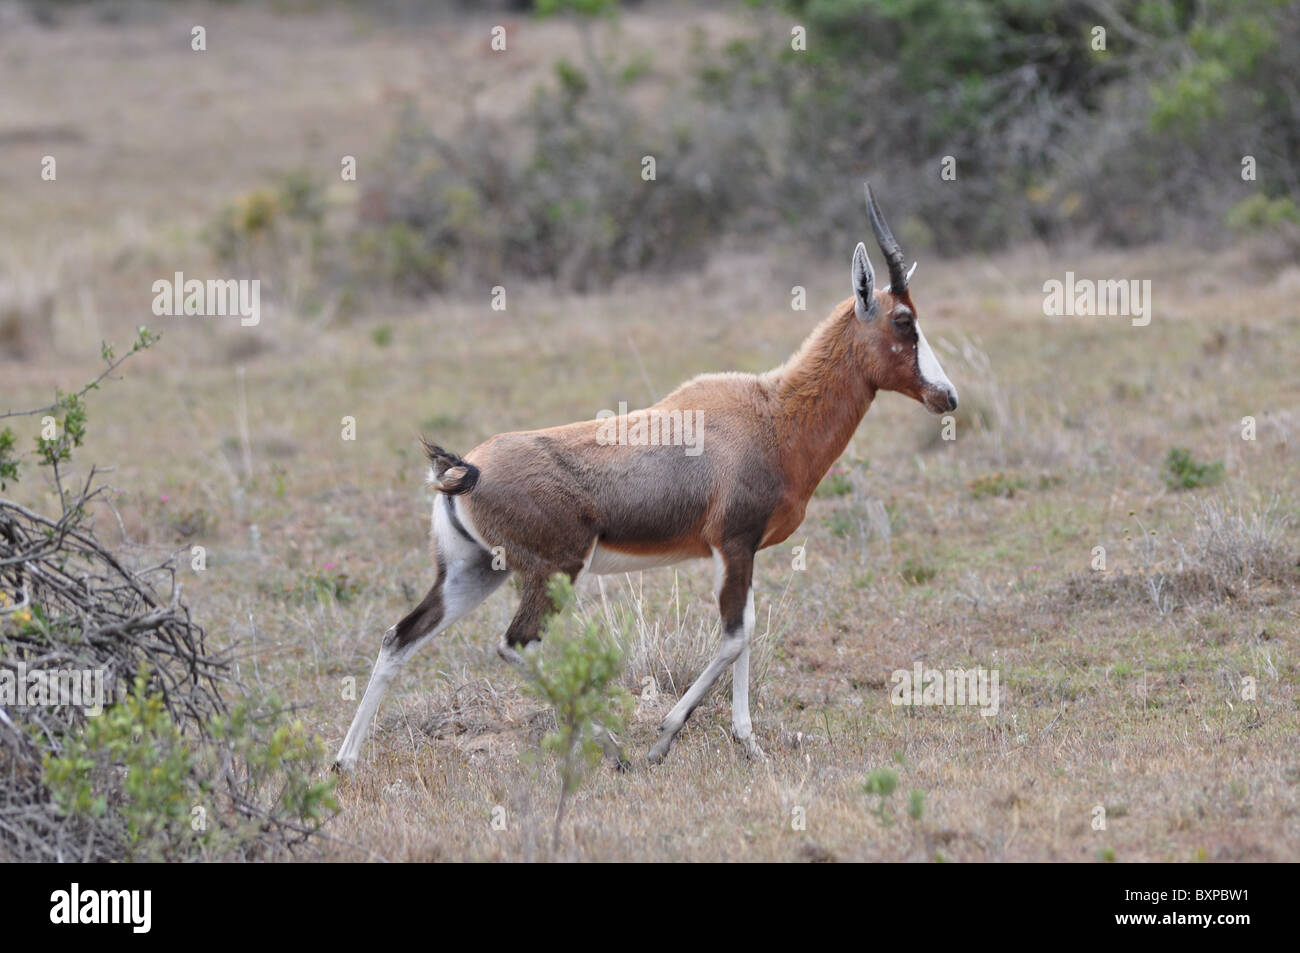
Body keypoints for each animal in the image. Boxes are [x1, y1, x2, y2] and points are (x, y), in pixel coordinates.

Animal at [333, 183, 957, 772]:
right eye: (904, 320)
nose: (946, 396)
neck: (770, 412)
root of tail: (468, 467)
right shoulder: (733, 544)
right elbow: (736, 635)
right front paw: (665, 739)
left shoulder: (743, 549)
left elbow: (748, 630)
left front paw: (749, 746)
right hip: (555, 571)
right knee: (516, 646)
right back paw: (615, 750)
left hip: (474, 571)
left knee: (400, 637)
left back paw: (344, 762)